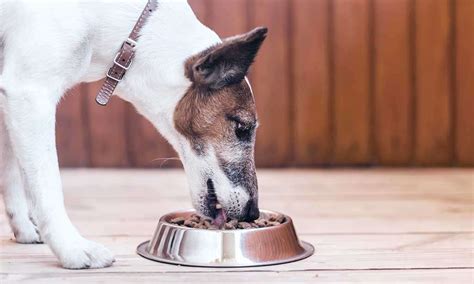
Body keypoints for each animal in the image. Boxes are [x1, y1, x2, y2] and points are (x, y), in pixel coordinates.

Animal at [0, 0, 266, 270]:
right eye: (242, 128)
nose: (253, 213)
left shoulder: (12, 102)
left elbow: (11, 174)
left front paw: (23, 228)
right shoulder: (30, 94)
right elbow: (48, 187)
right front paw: (72, 248)